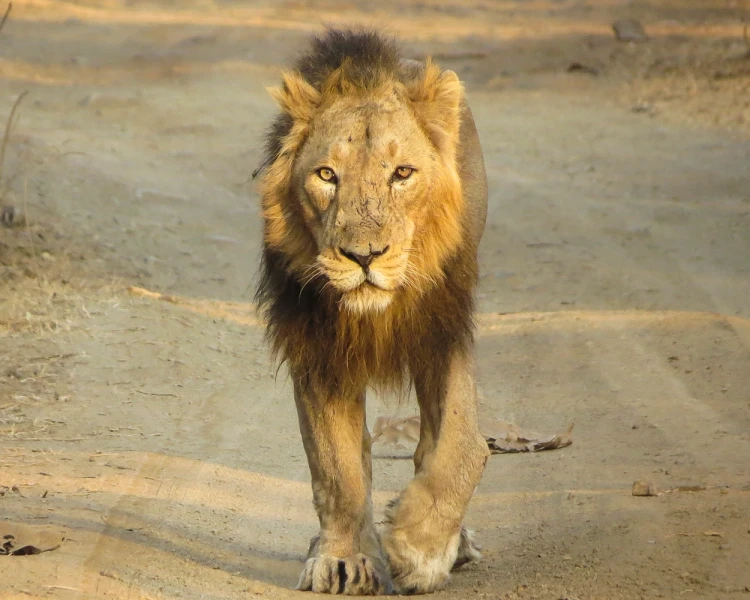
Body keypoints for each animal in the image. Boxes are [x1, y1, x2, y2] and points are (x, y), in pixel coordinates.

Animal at [255, 29, 490, 595]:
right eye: (326, 175)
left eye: (402, 173)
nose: (363, 257)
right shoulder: (319, 347)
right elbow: (337, 467)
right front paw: (343, 557)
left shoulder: (441, 329)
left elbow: (461, 446)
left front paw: (418, 546)